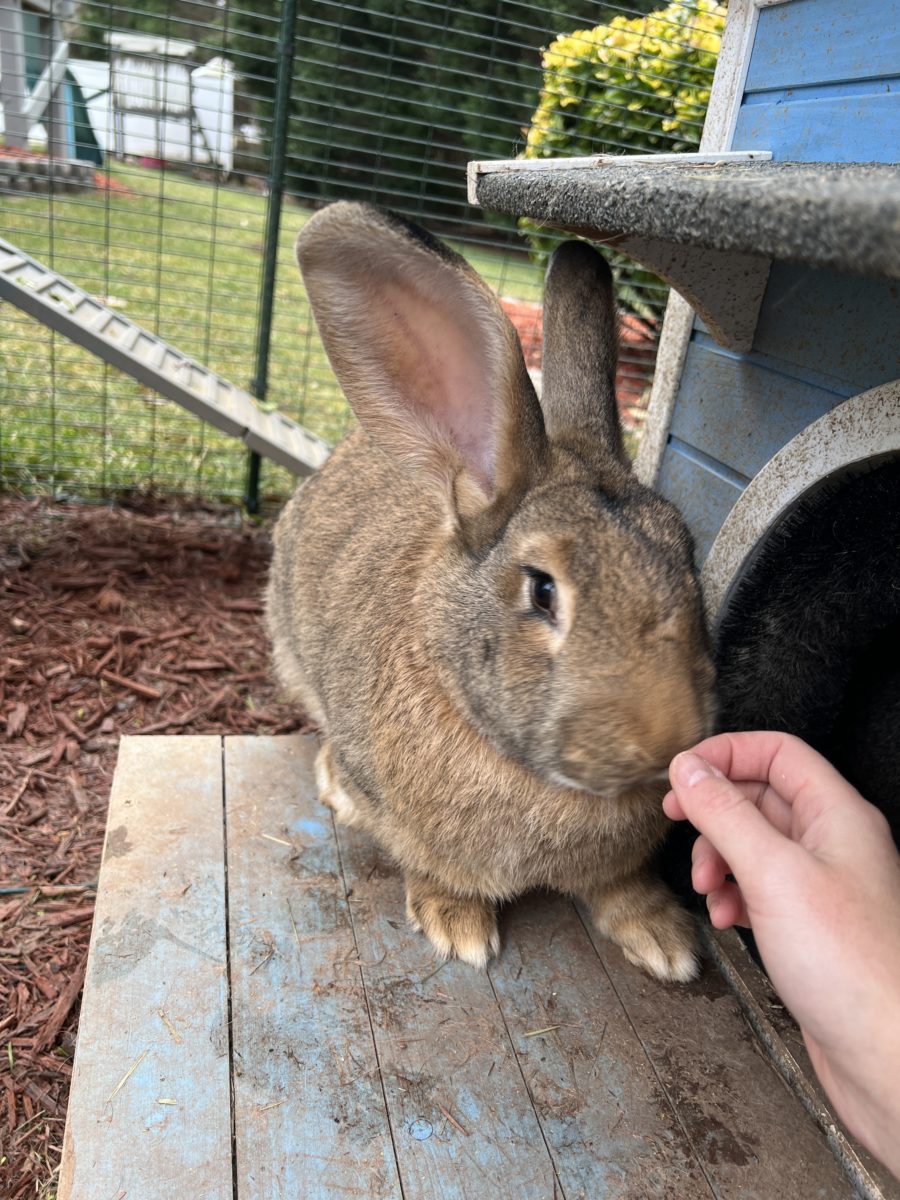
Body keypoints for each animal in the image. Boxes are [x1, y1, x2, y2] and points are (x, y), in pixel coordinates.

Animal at [266, 201, 716, 982]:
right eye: (542, 592)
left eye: (688, 558)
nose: (665, 740)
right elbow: (429, 867)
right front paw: (457, 926)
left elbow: (622, 885)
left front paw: (666, 943)